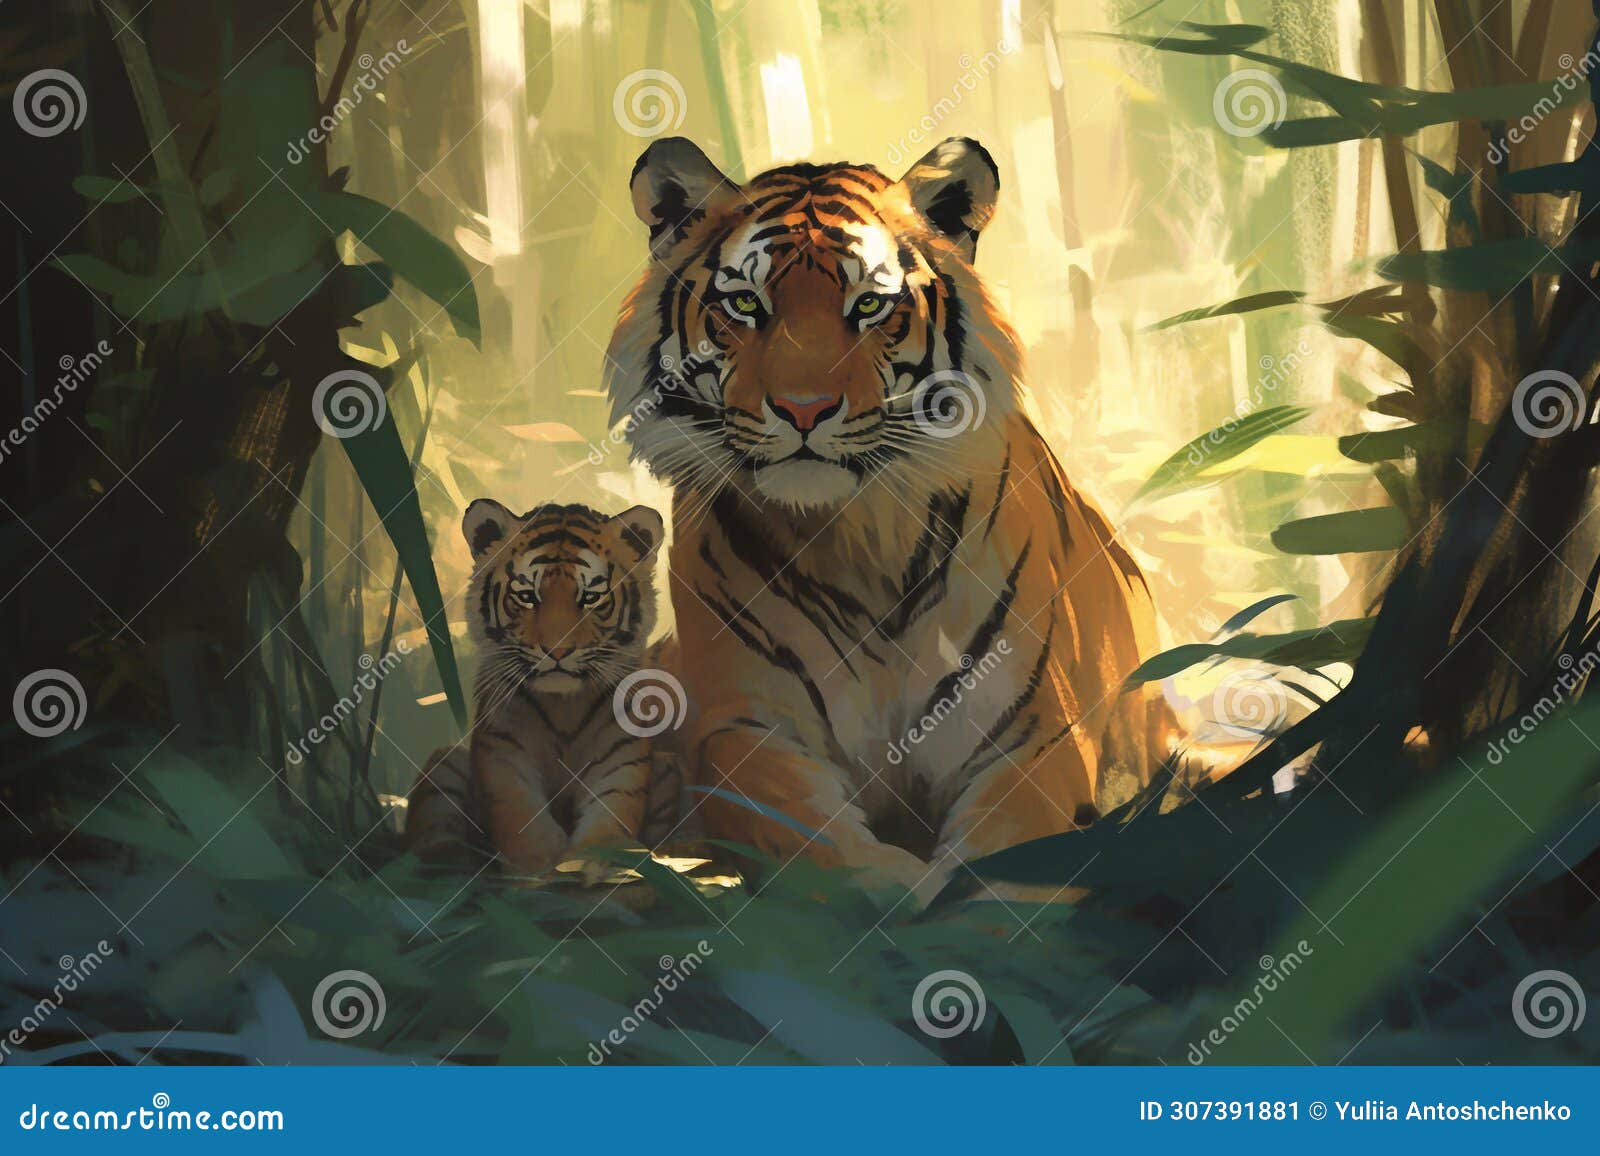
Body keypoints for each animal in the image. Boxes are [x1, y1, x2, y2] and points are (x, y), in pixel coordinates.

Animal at [403, 499, 681, 878]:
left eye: (590, 597)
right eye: (527, 596)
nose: (558, 651)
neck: (563, 706)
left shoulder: (621, 759)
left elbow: (608, 822)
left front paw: (591, 863)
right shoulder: (503, 754)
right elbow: (522, 821)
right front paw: (539, 866)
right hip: (444, 763)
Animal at [603, 136, 1178, 901]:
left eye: (870, 305)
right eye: (746, 303)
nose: (806, 409)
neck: (852, 542)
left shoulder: (1034, 733)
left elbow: (1008, 849)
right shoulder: (740, 728)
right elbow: (812, 840)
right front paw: (900, 889)